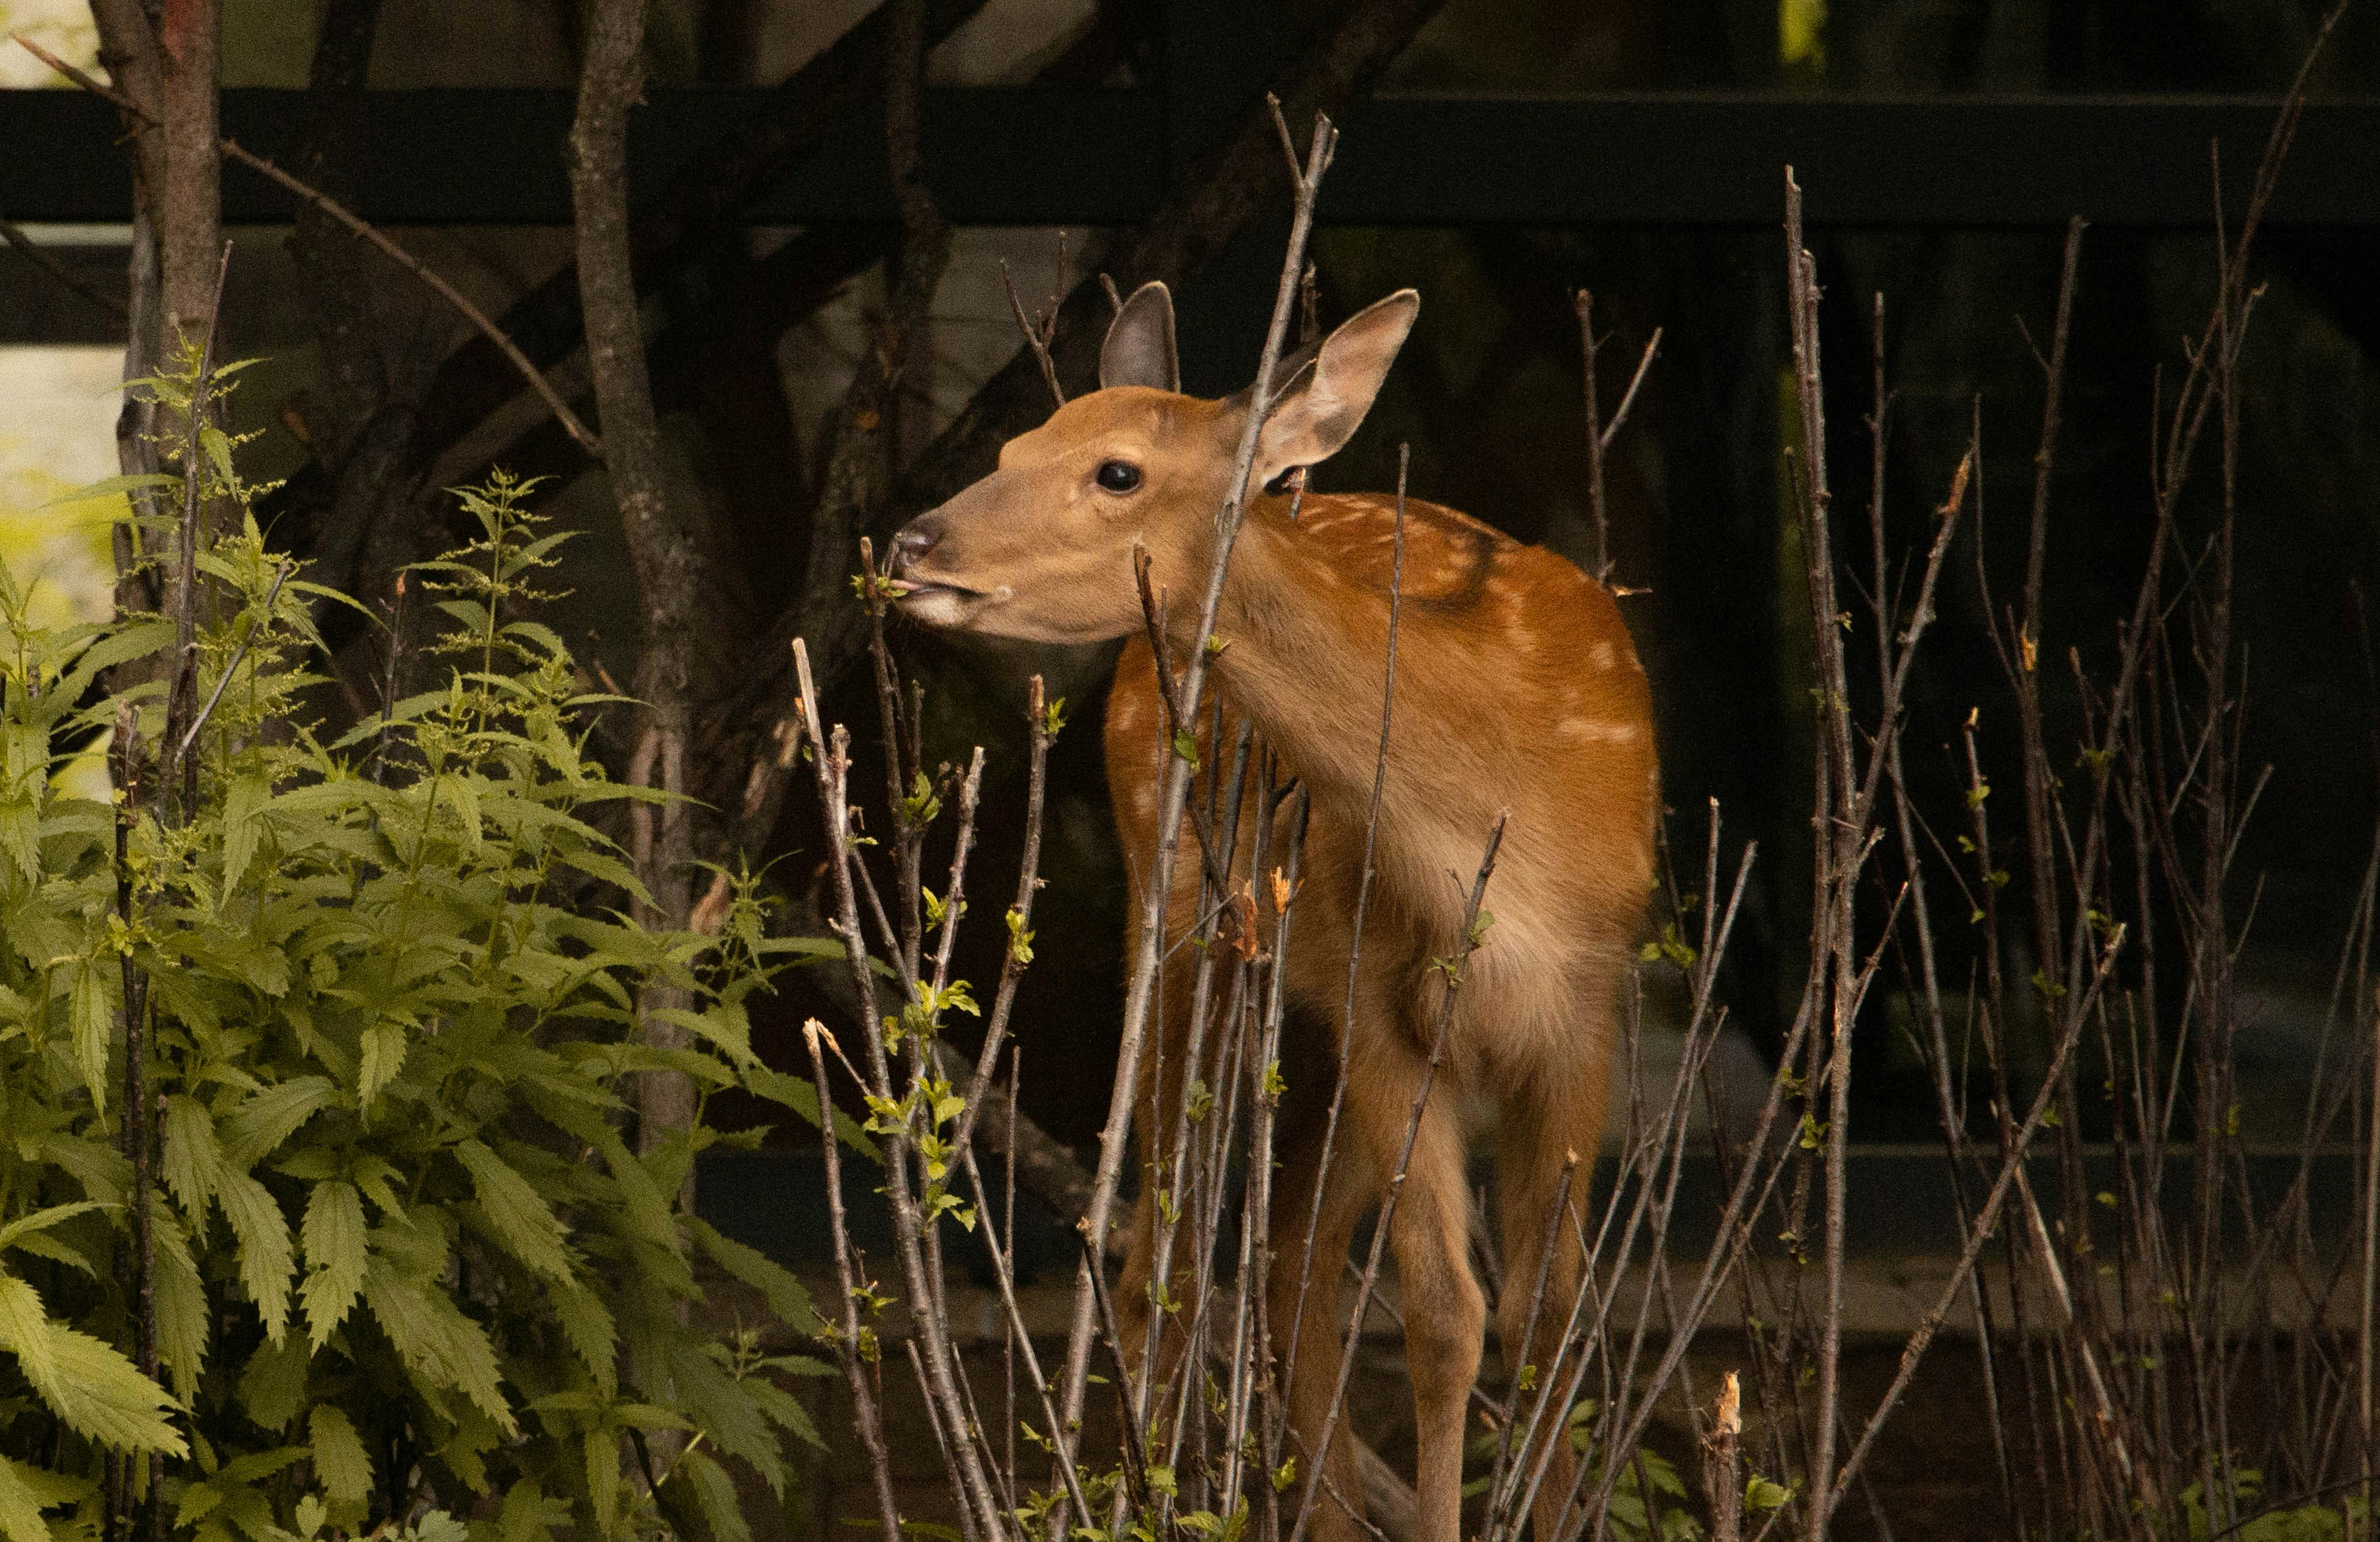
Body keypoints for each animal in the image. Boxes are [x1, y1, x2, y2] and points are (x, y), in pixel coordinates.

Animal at [887, 282, 1658, 1542]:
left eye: (1114, 470)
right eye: (1007, 448)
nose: (914, 544)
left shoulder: (1586, 1009)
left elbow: (1547, 1315)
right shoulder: (1381, 1002)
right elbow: (1444, 1313)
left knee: (1292, 1257)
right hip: (1179, 919)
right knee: (1165, 1254)